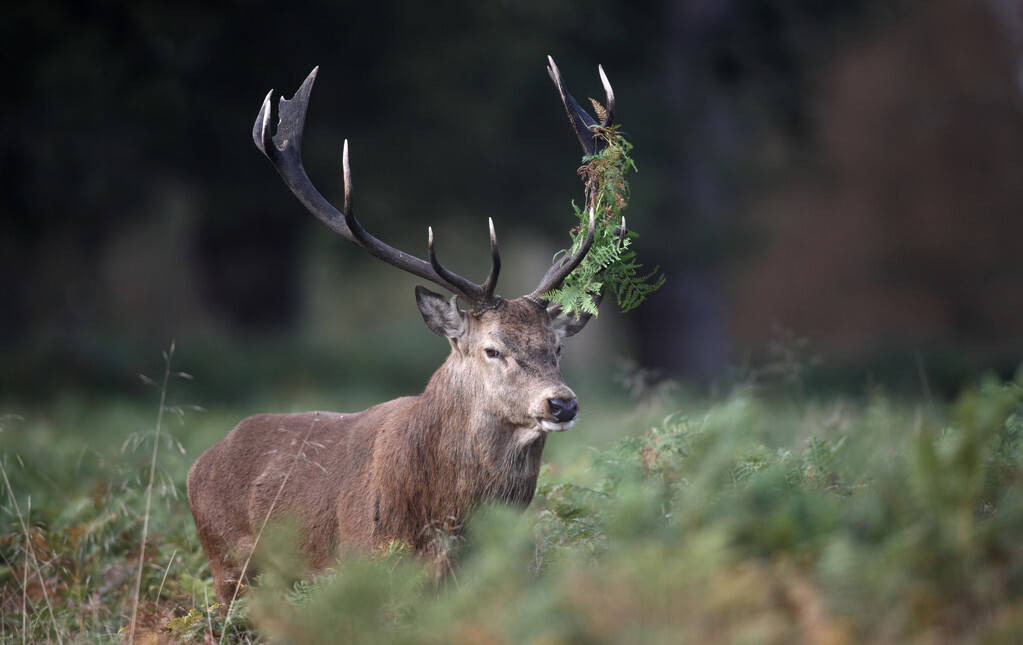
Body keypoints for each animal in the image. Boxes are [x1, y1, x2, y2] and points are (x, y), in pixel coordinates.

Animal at [187, 57, 620, 603]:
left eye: (557, 348)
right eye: (492, 350)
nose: (561, 403)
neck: (448, 520)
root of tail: (198, 466)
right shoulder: (363, 564)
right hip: (227, 567)